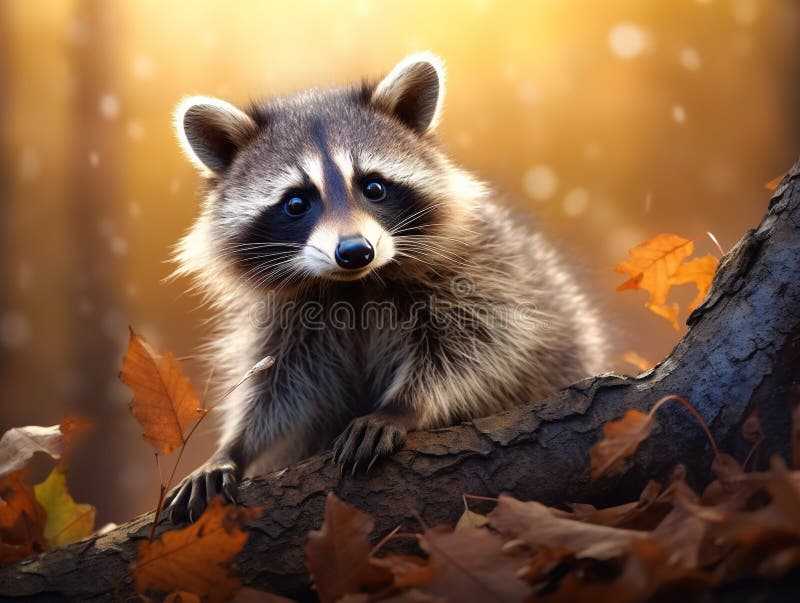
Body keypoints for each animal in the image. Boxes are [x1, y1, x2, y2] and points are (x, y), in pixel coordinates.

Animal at [165, 53, 606, 521]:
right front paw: (235, 445)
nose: (355, 251)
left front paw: (403, 406)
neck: (354, 286)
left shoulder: (483, 271)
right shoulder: (286, 319)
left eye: (373, 186)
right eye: (296, 203)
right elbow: (276, 385)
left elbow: (483, 344)